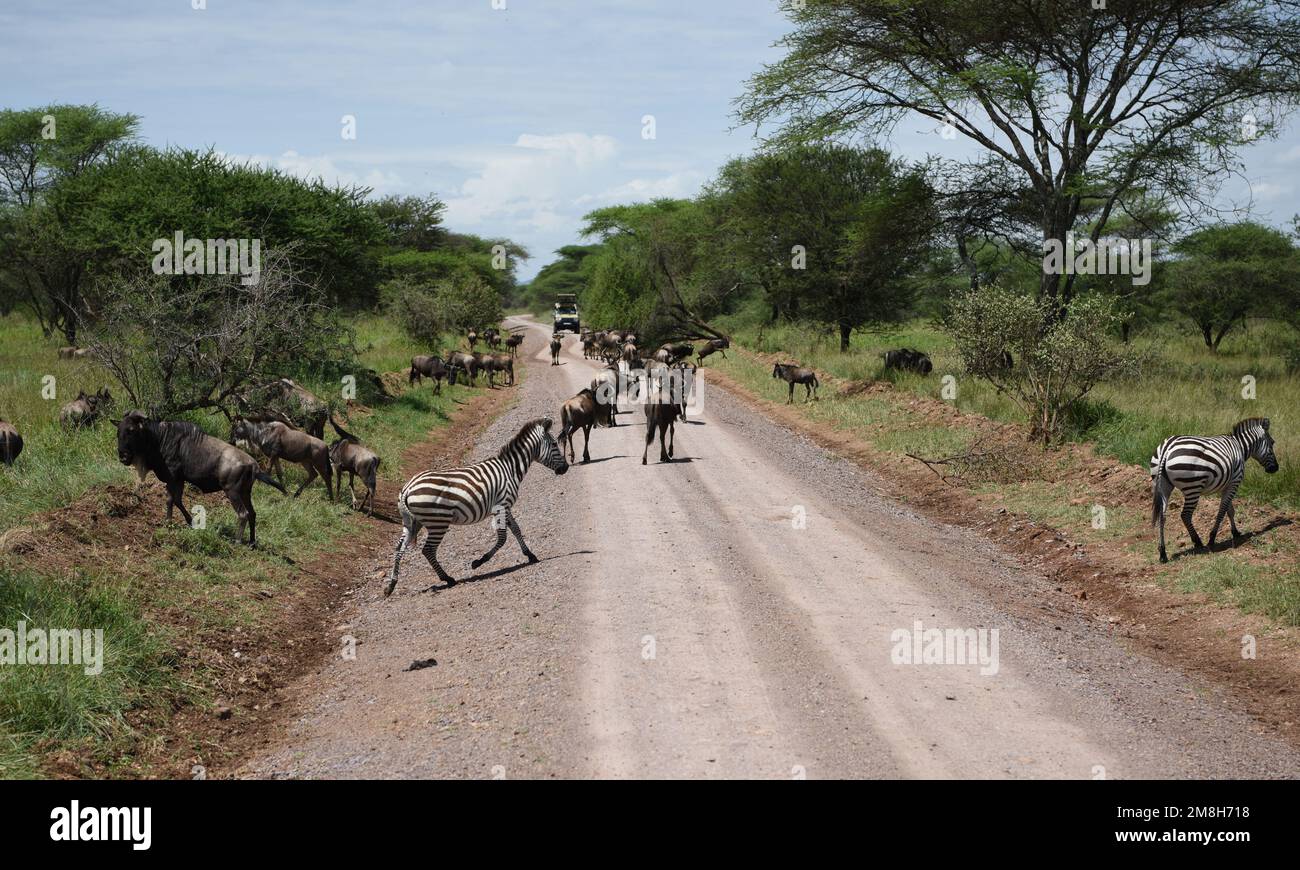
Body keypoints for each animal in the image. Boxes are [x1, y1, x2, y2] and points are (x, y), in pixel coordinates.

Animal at [384, 418, 569, 595]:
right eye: (554, 444)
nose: (566, 468)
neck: (510, 469)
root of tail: (408, 488)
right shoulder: (502, 505)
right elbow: (503, 538)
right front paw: (479, 562)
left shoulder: (505, 507)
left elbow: (516, 529)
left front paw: (530, 555)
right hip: (438, 522)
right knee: (428, 550)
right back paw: (448, 579)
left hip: (412, 522)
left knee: (400, 548)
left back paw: (391, 585)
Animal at [1150, 417, 1279, 563]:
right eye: (1272, 443)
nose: (1275, 468)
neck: (1240, 447)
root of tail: (1167, 448)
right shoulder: (1235, 482)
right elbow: (1222, 511)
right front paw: (1212, 538)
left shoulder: (1227, 485)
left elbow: (1230, 510)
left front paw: (1235, 532)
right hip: (1193, 488)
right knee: (1185, 515)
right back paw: (1198, 542)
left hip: (1162, 485)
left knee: (1162, 516)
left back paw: (1163, 553)